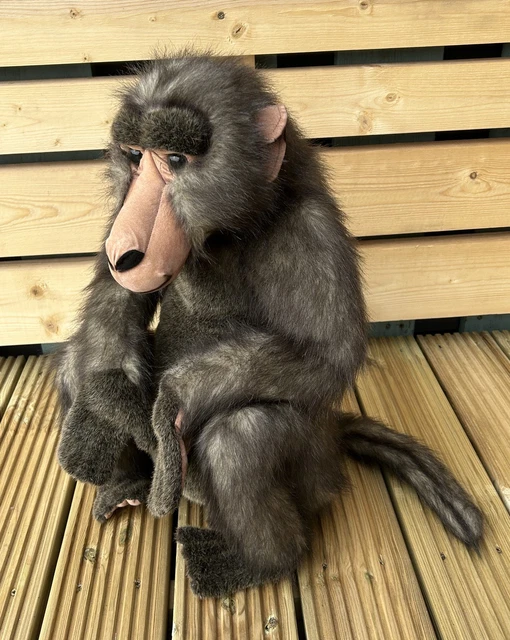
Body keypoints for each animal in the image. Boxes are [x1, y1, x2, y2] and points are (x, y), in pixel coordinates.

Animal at [55, 53, 483, 599]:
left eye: (175, 160)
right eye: (135, 157)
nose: (124, 251)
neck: (230, 233)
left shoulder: (313, 231)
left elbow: (328, 356)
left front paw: (175, 399)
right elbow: (113, 305)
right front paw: (107, 404)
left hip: (310, 473)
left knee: (240, 438)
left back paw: (260, 560)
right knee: (75, 364)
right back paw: (126, 479)